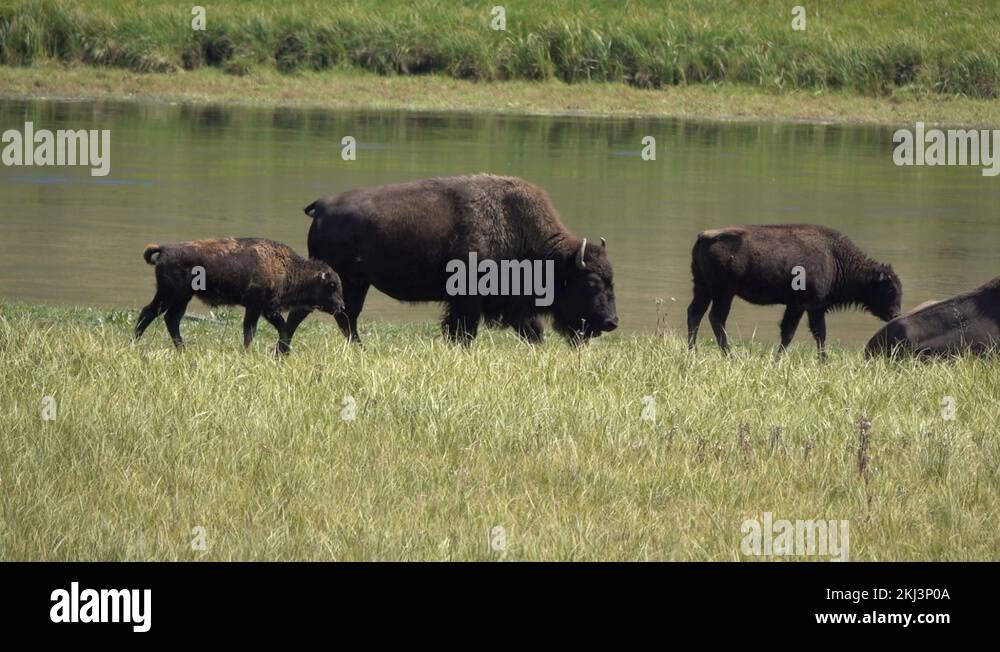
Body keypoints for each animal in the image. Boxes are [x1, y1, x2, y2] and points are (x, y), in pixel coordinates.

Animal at [288, 174, 618, 345]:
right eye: (591, 283)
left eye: (611, 280)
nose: (612, 322)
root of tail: (321, 206)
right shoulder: (468, 300)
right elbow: (463, 330)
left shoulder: (511, 306)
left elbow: (532, 331)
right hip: (342, 282)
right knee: (340, 317)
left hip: (356, 284)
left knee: (347, 317)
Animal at [687, 224, 902, 357]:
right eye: (890, 289)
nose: (895, 314)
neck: (834, 257)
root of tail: (704, 237)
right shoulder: (799, 305)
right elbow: (789, 333)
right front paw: (778, 360)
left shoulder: (815, 308)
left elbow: (820, 334)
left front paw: (824, 361)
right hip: (723, 292)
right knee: (716, 318)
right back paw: (729, 356)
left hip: (704, 288)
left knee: (696, 314)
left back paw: (694, 353)